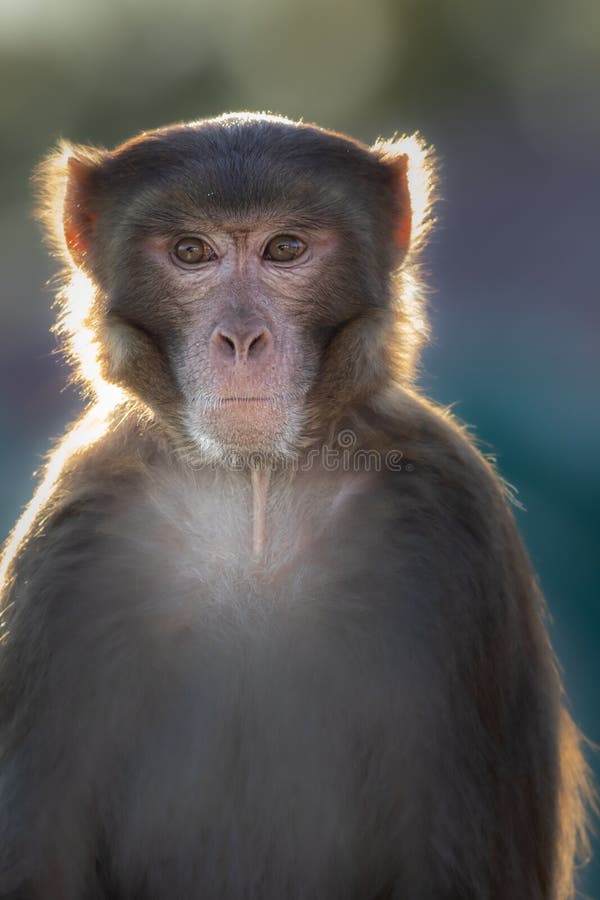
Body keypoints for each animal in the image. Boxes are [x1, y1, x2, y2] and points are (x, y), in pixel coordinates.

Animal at [0, 112, 593, 899]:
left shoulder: (453, 513)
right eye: (191, 252)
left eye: (284, 250)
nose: (242, 339)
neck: (254, 490)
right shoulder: (72, 529)